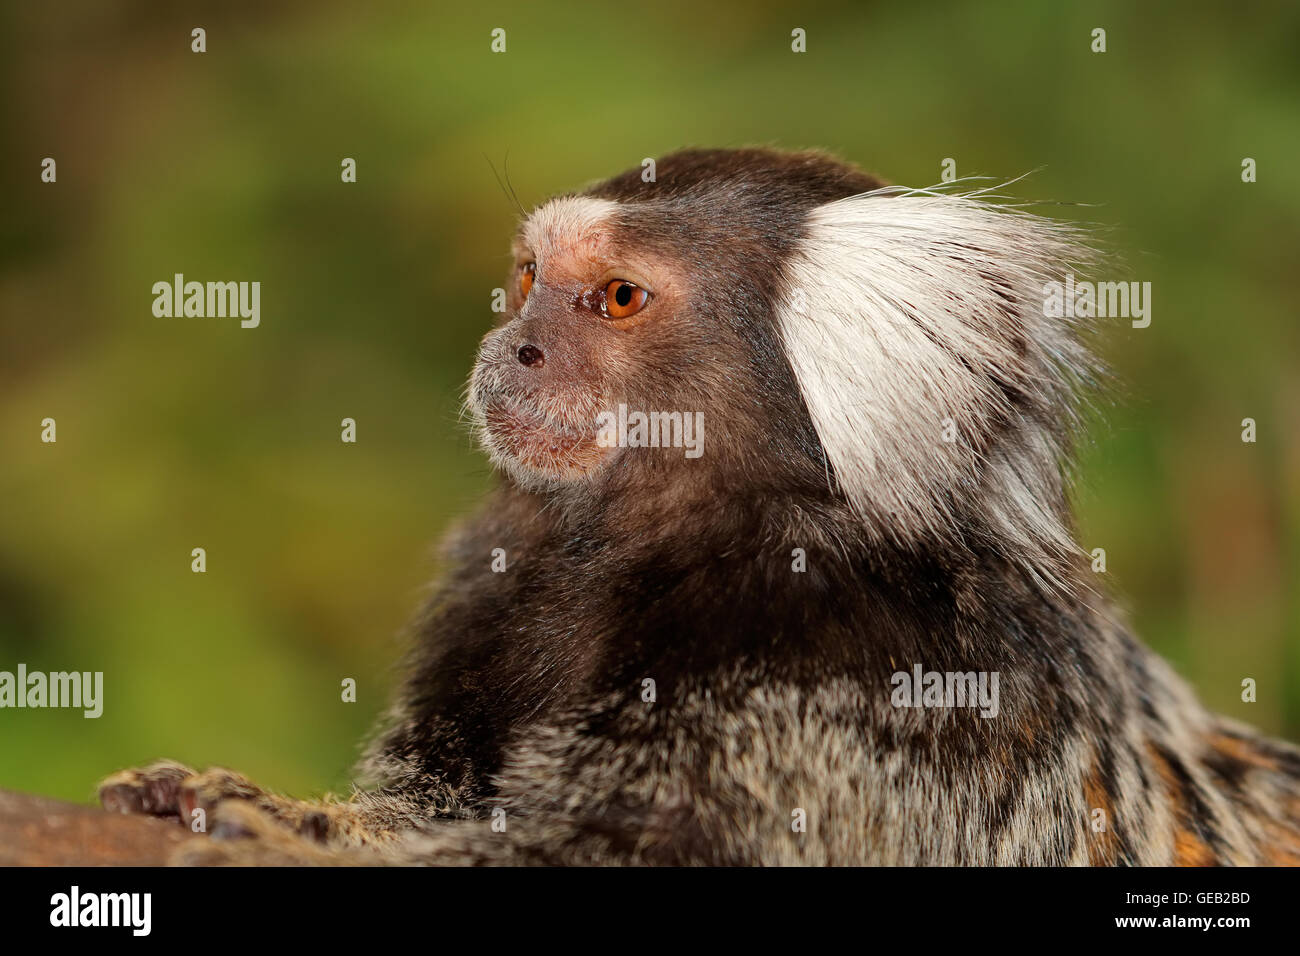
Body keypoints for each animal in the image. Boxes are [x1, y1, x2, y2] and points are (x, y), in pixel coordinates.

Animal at [99, 147, 1300, 866]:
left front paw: (279, 831)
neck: (669, 537)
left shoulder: (883, 695)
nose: (511, 345)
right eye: (526, 277)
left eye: (619, 297)